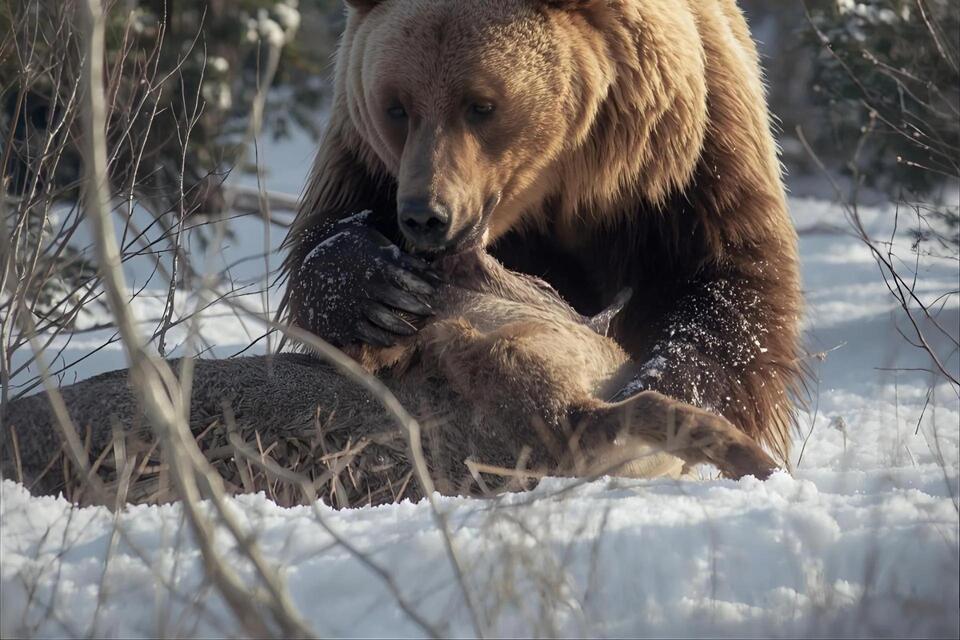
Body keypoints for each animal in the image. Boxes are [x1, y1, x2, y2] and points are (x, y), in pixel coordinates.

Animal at [281, 0, 804, 465]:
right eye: (396, 107)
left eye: (481, 105)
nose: (425, 216)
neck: (560, 187)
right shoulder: (365, 159)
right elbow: (326, 240)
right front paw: (376, 289)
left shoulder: (688, 161)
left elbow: (729, 291)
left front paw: (662, 389)